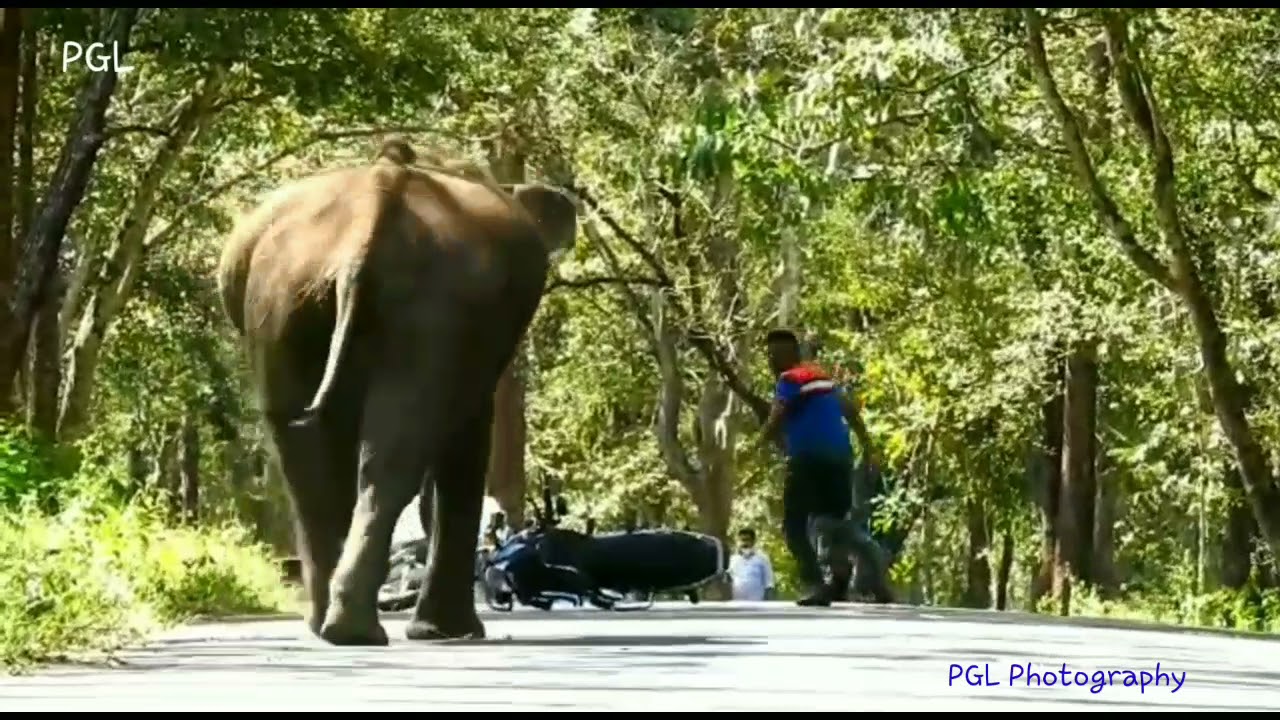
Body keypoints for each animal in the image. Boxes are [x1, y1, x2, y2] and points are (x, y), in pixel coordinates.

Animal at [215, 137, 577, 645]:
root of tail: (374, 210)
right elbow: (467, 434)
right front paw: (451, 633)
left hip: (289, 301)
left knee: (308, 452)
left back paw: (335, 627)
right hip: (413, 307)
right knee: (379, 456)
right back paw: (358, 629)